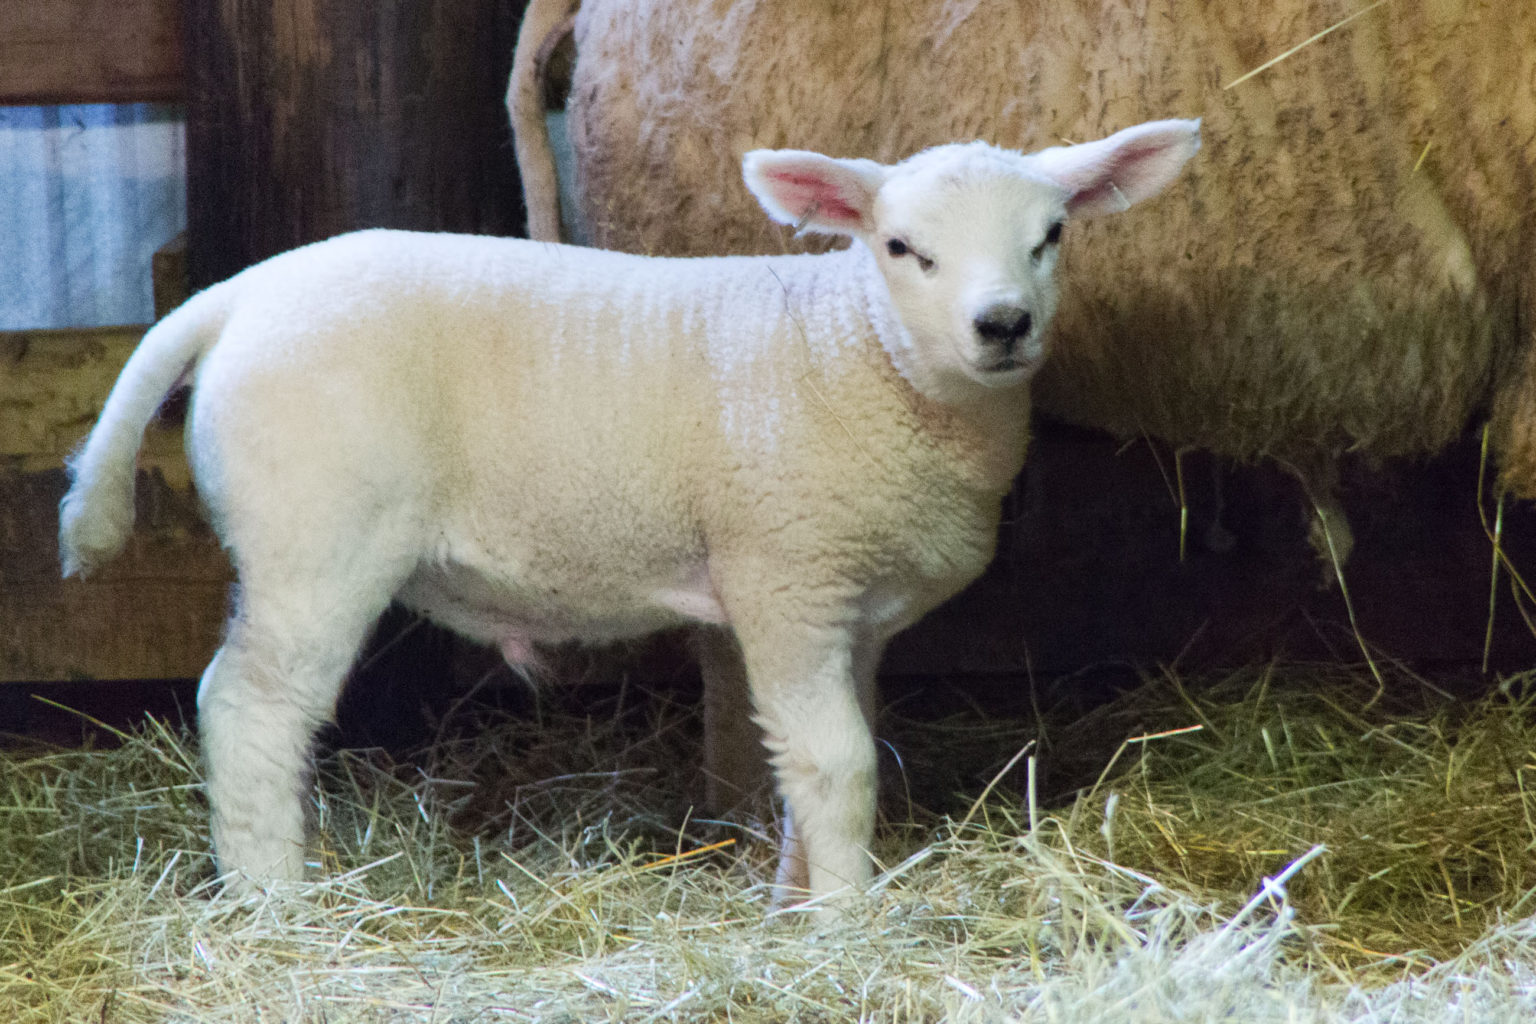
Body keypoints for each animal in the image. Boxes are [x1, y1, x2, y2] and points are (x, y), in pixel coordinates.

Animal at [58, 122, 1201, 904]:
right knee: (250, 708)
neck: (860, 352)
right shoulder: (786, 574)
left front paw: (795, 899)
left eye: (1051, 236)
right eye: (902, 248)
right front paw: (844, 919)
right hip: (314, 536)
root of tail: (237, 297)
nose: (1003, 324)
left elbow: (825, 755)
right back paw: (274, 902)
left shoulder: (855, 608)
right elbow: (838, 762)